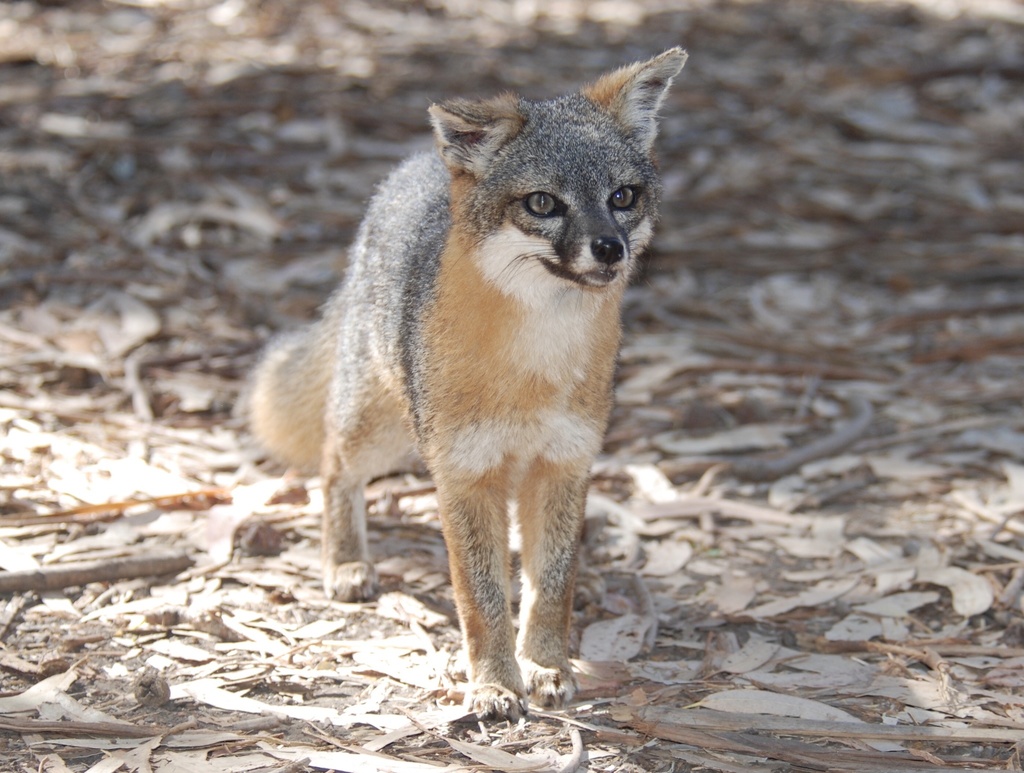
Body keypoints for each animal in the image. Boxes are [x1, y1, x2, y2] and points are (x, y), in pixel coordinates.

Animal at [247, 48, 687, 721]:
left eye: (622, 195)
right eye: (543, 204)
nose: (609, 249)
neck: (534, 366)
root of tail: (412, 167)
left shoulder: (564, 466)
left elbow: (551, 586)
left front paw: (545, 667)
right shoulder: (463, 474)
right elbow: (481, 598)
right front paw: (495, 684)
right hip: (383, 431)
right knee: (331, 464)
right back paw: (346, 561)